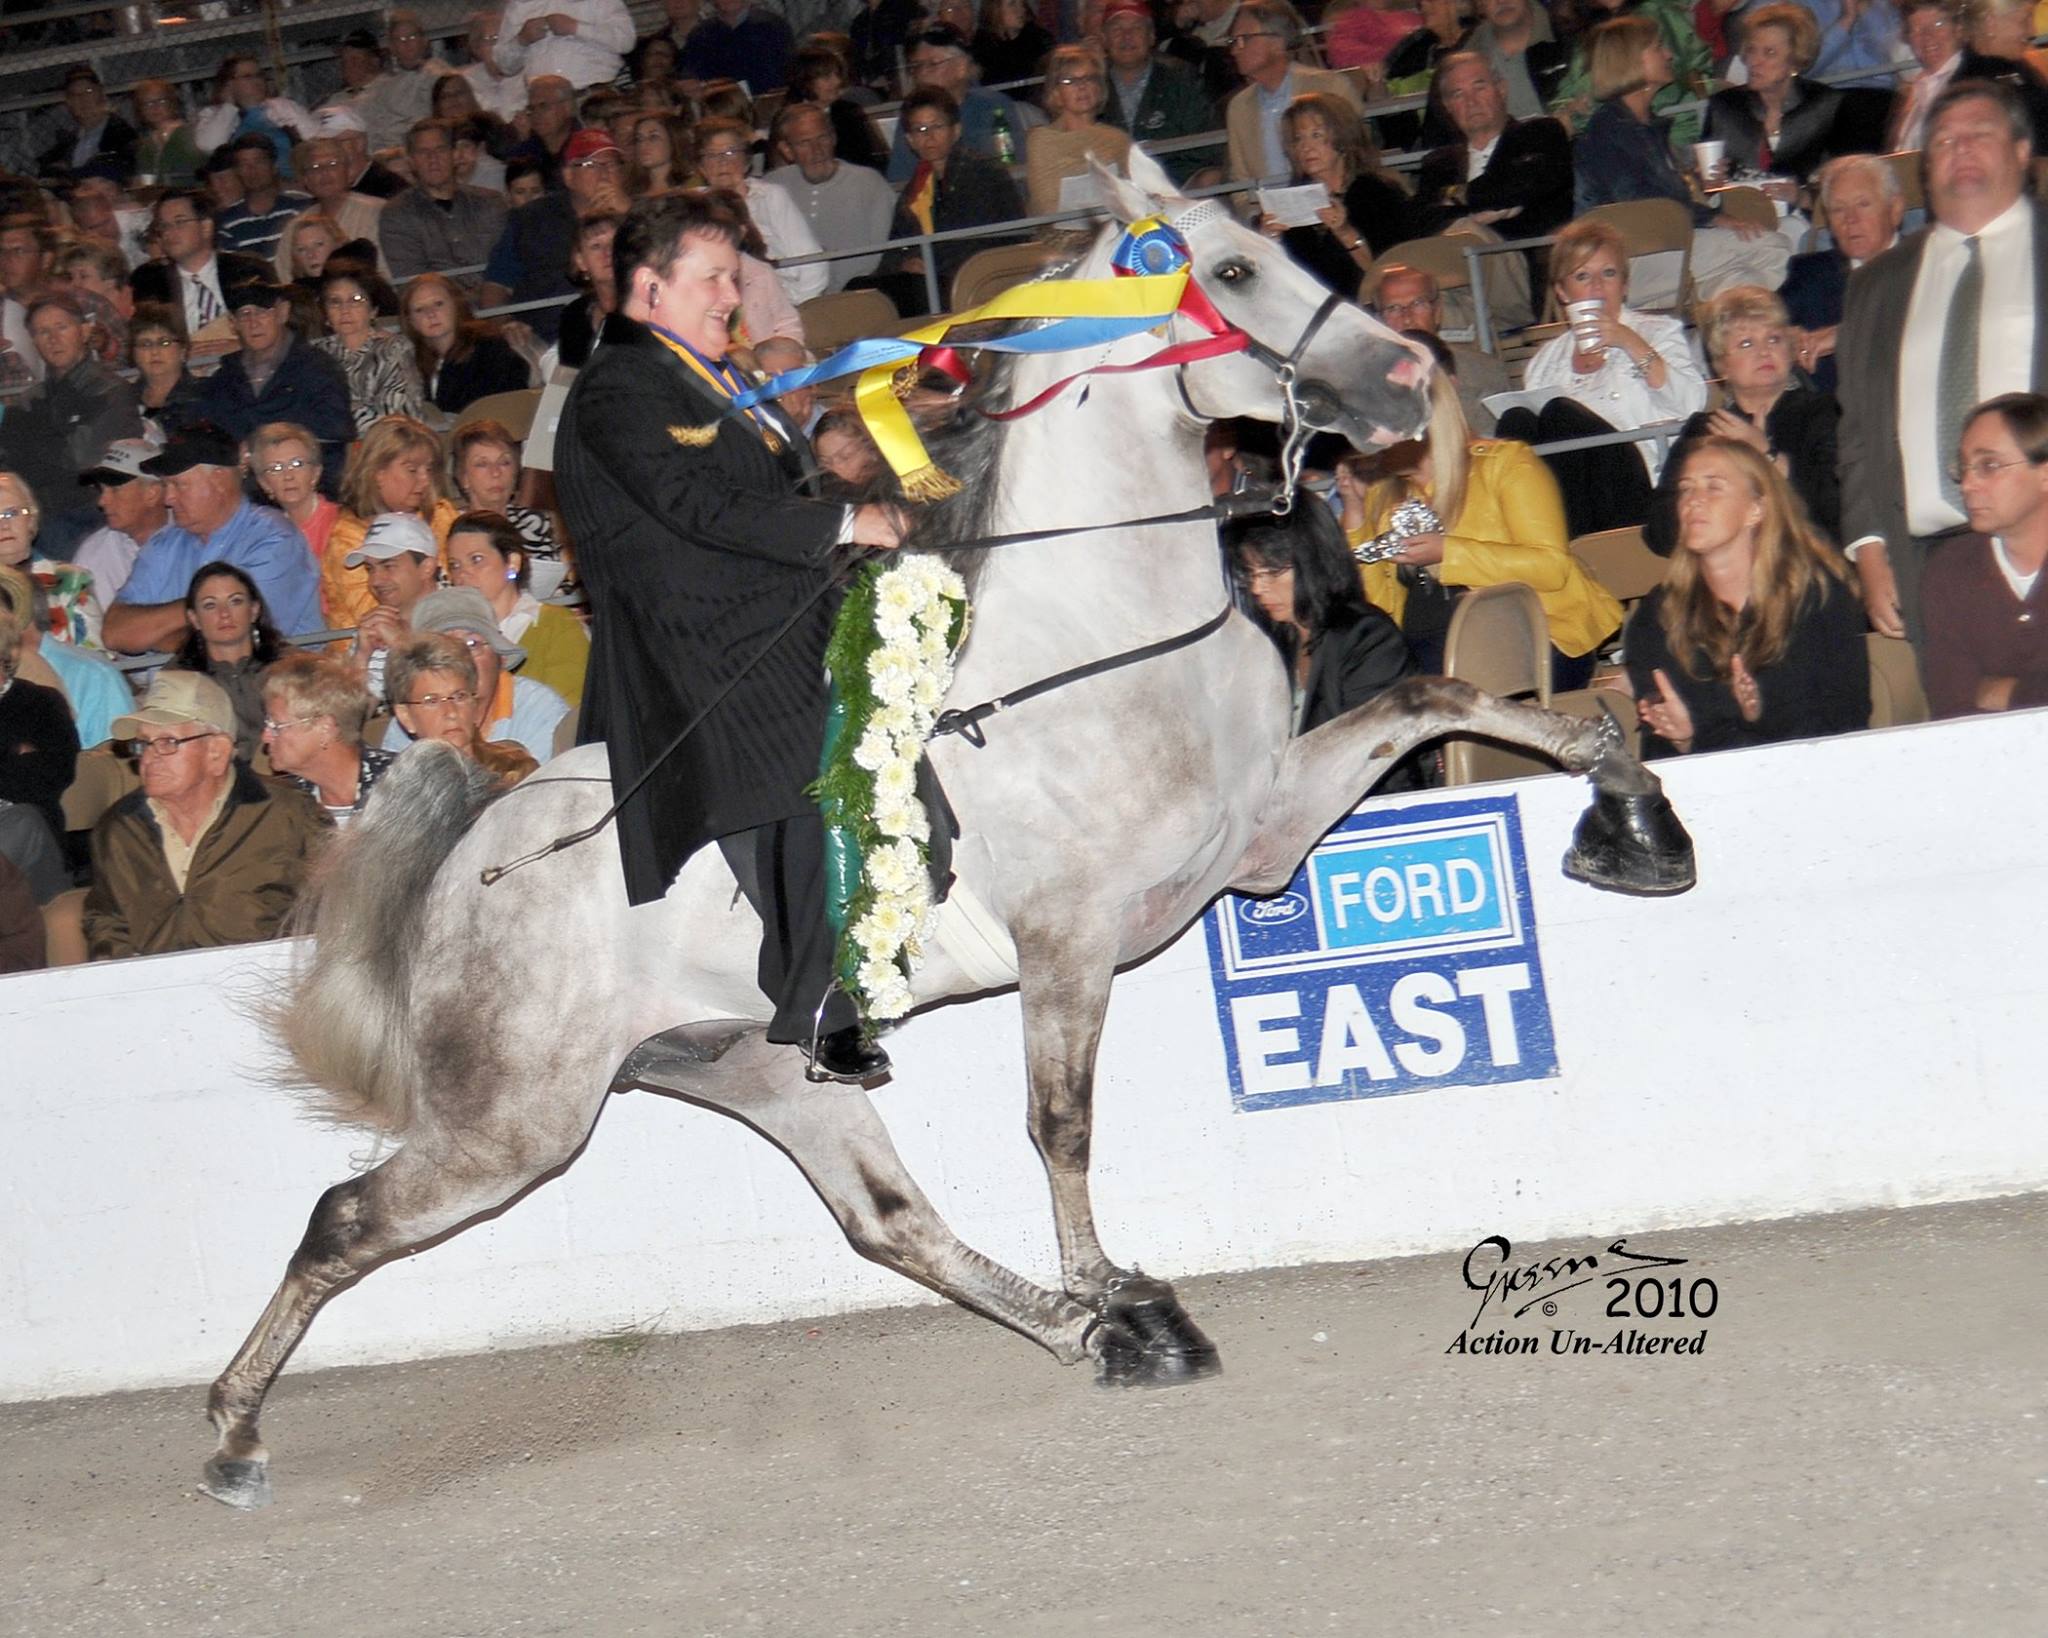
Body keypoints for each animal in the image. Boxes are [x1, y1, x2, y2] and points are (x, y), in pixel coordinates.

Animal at [199, 150, 1695, 1509]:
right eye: (1230, 273)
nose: (1402, 377)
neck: (1103, 637)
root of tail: (476, 844)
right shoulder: (1070, 940)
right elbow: (1060, 1125)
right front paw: (1112, 1280)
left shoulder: (1260, 835)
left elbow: (1444, 696)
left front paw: (1632, 815)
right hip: (517, 1120)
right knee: (347, 1218)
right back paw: (230, 1434)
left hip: (761, 1073)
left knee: (887, 1223)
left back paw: (1088, 1331)